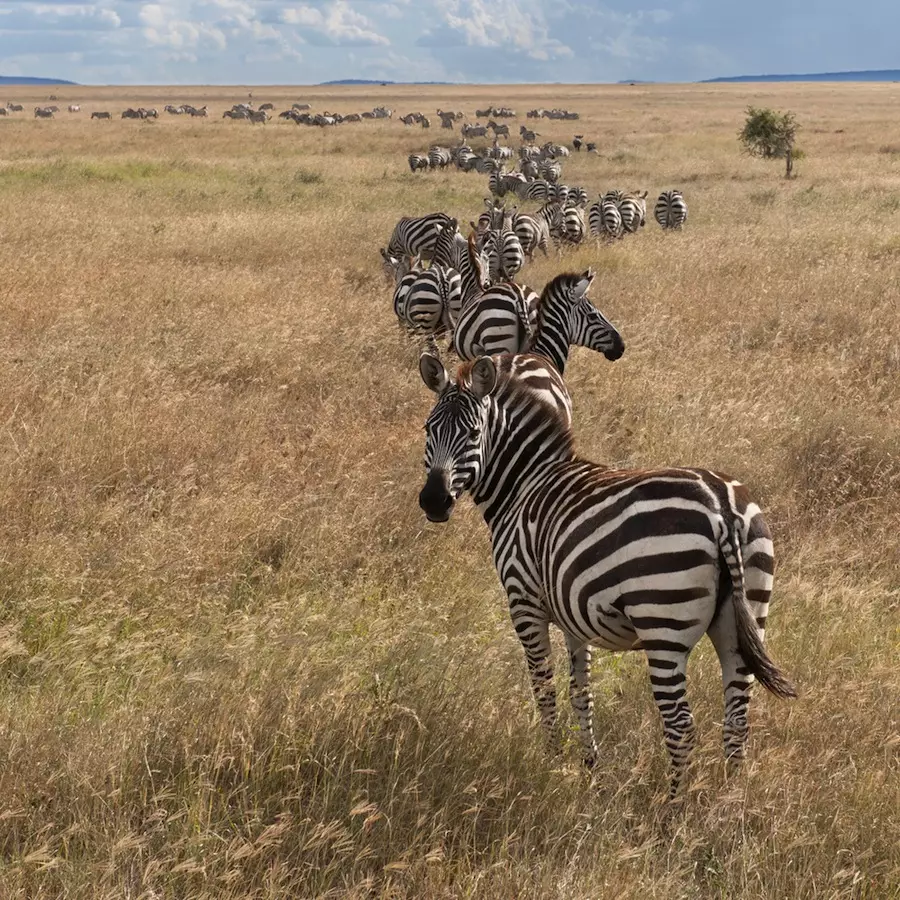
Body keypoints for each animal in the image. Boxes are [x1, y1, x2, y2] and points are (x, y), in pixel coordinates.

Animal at [416, 352, 796, 796]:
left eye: (473, 434)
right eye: (428, 429)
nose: (433, 501)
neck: (524, 484)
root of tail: (722, 507)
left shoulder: (524, 603)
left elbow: (544, 688)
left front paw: (552, 761)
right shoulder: (572, 615)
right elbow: (581, 692)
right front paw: (589, 768)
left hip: (662, 622)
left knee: (681, 727)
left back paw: (673, 807)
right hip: (743, 616)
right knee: (737, 719)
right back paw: (730, 799)